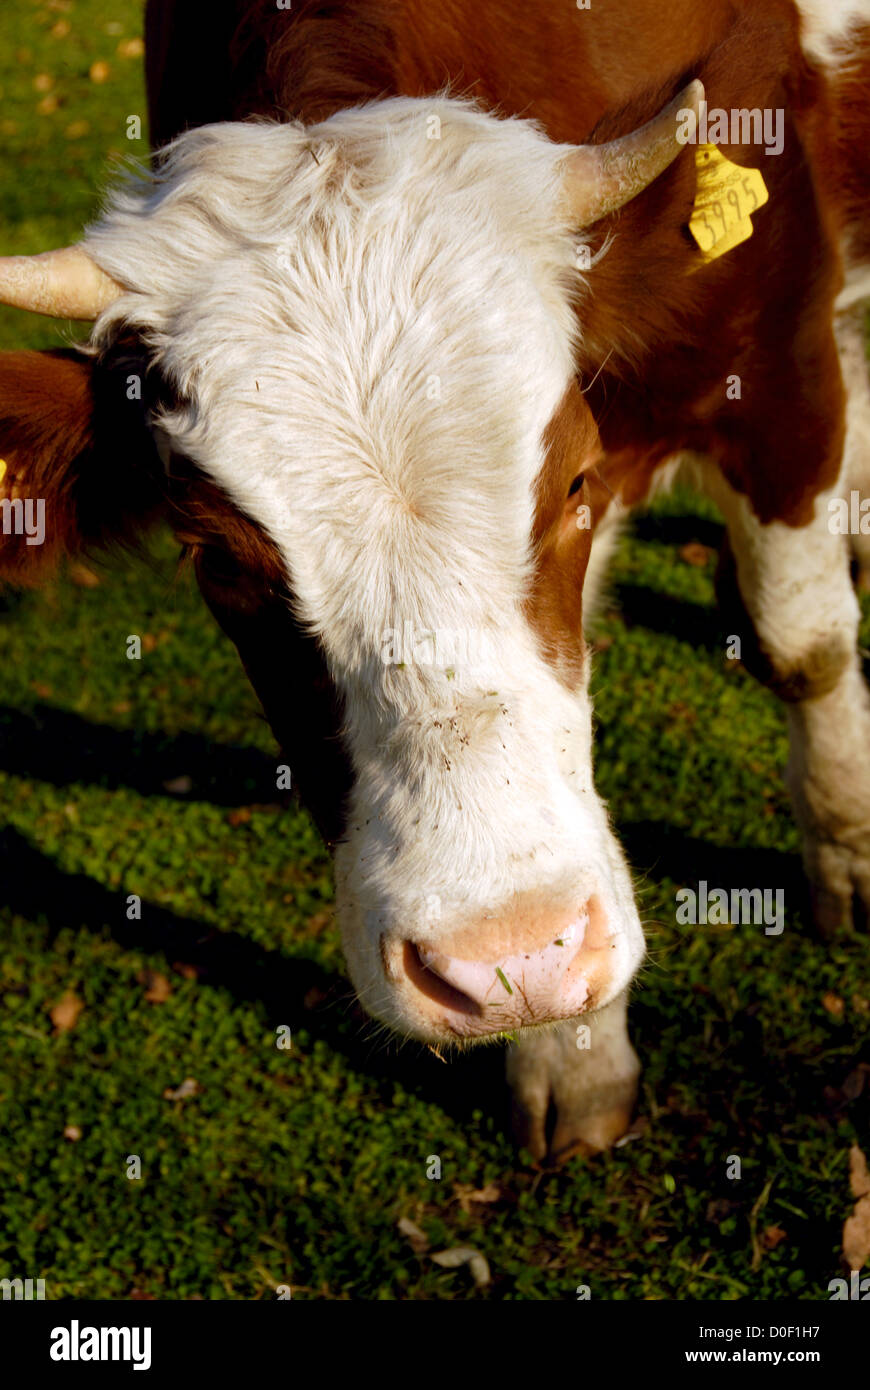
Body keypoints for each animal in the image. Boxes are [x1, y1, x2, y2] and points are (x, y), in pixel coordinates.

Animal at [0, 0, 868, 1164]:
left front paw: (848, 851)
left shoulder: (777, 345)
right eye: (217, 558)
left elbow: (799, 640)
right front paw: (570, 1051)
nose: (513, 957)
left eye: (575, 481)